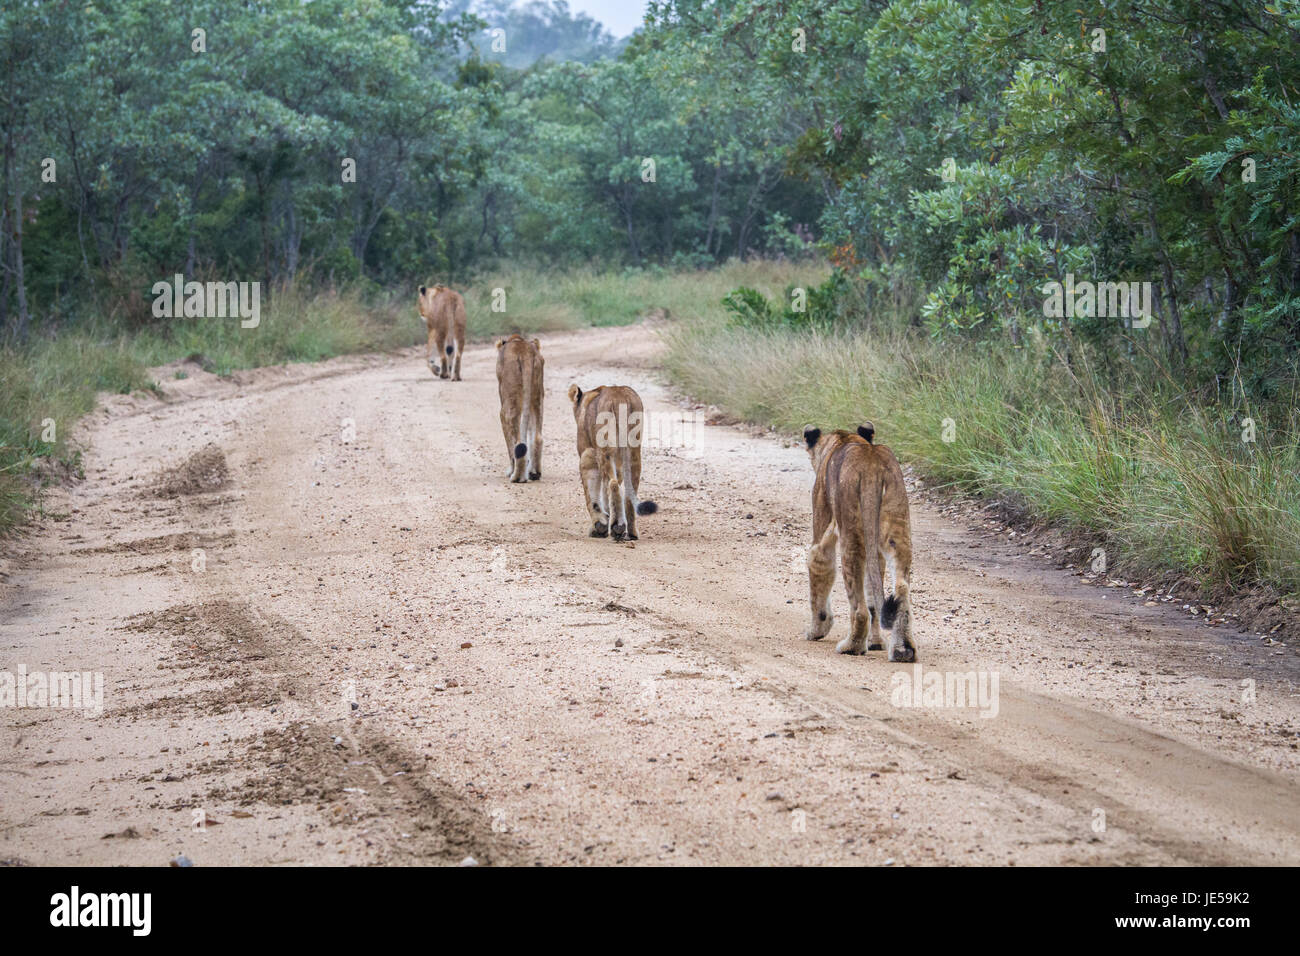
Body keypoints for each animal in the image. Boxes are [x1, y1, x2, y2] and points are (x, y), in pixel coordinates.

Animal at [496, 334, 544, 483]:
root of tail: (525, 351)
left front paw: (510, 471)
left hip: (509, 406)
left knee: (517, 443)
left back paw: (516, 477)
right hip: (537, 398)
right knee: (537, 437)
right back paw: (534, 473)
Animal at [568, 384, 658, 540]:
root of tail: (620, 396)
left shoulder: (588, 455)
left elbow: (592, 497)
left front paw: (599, 526)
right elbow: (605, 492)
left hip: (605, 450)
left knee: (613, 484)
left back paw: (617, 527)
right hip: (633, 451)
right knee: (628, 491)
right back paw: (631, 532)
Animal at [802, 422, 915, 661]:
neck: (844, 438)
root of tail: (872, 466)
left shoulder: (821, 531)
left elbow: (818, 567)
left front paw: (816, 631)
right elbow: (874, 598)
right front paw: (876, 643)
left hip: (851, 536)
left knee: (860, 608)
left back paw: (851, 646)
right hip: (897, 529)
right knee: (900, 588)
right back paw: (903, 650)